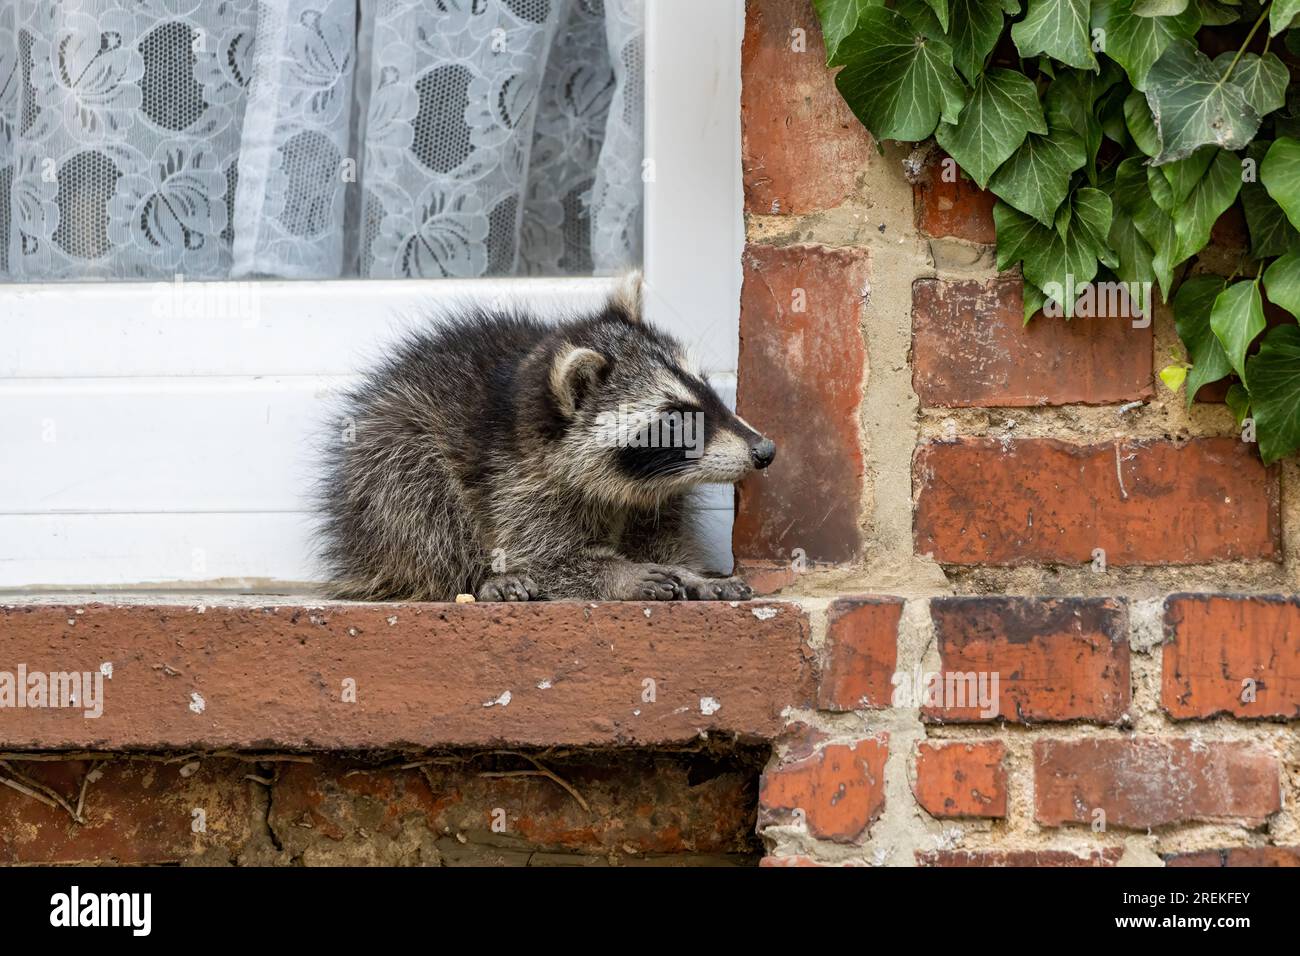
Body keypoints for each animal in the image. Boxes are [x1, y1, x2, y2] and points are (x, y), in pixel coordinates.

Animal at [317, 279, 776, 602]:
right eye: (675, 419)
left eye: (708, 389)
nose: (765, 450)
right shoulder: (516, 482)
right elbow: (544, 558)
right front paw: (618, 574)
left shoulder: (657, 496)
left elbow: (664, 542)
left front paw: (692, 575)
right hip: (387, 453)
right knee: (421, 509)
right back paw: (477, 579)